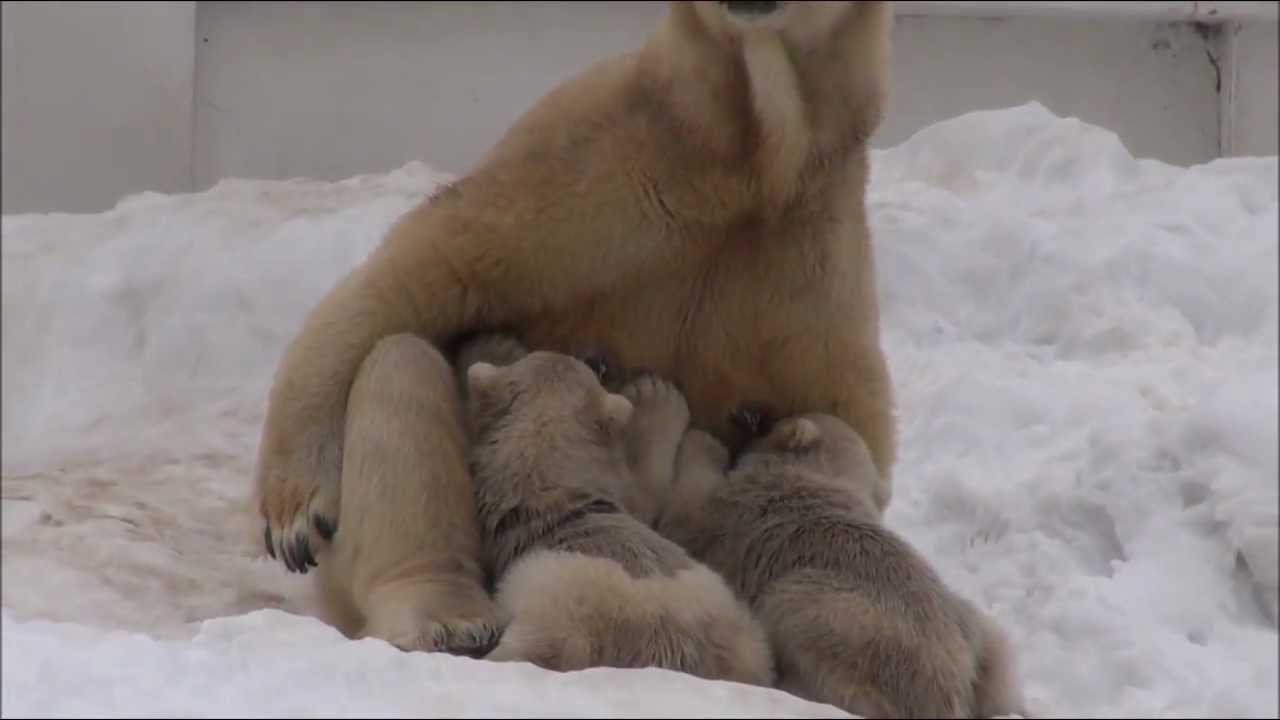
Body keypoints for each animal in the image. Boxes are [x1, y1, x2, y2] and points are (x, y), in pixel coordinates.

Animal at [655, 414, 1030, 719]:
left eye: (770, 424)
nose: (750, 415)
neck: (811, 474)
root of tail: (950, 685)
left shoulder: (734, 512)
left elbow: (685, 513)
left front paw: (698, 438)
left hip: (842, 616)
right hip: (977, 635)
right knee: (999, 656)